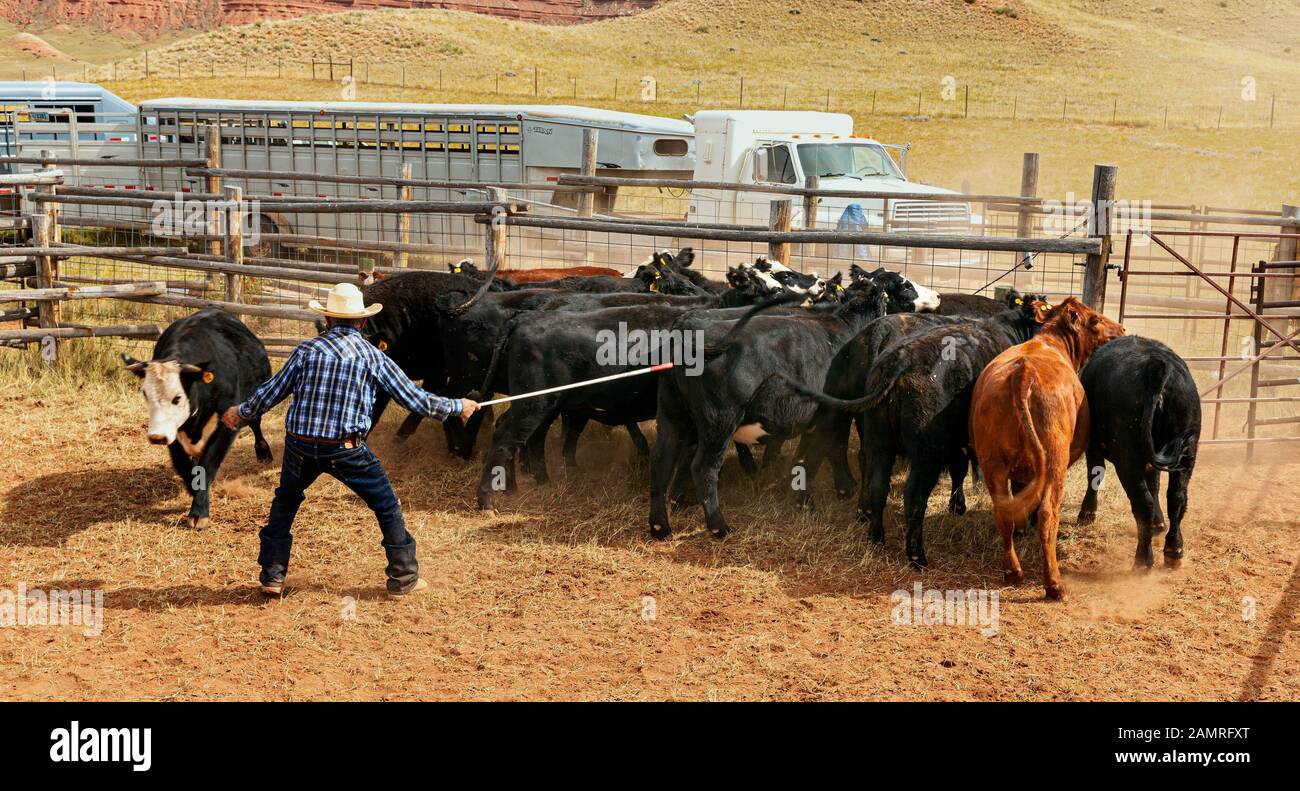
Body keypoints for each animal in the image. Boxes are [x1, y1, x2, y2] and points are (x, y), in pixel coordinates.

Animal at [121, 309, 274, 529]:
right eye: (145, 394)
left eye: (177, 397)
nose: (156, 437)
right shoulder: (174, 434)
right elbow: (186, 468)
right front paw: (194, 490)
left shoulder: (226, 426)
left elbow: (209, 464)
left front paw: (199, 512)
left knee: (256, 424)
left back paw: (263, 452)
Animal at [783, 297, 1051, 566]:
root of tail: (897, 356)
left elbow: (959, 468)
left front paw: (958, 504)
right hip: (926, 453)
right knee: (913, 494)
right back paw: (916, 555)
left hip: (863, 430)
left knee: (860, 470)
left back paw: (862, 526)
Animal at [968, 297, 1125, 600]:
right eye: (1095, 319)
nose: (1122, 329)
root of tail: (1023, 371)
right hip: (1055, 463)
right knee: (1047, 516)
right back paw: (1054, 584)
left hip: (993, 463)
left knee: (1003, 511)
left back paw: (1013, 571)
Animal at [1076, 336, 1200, 570]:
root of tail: (1157, 368)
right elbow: (1155, 484)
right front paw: (1158, 523)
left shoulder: (1093, 446)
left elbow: (1094, 475)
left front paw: (1087, 513)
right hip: (1187, 453)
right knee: (1177, 498)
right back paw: (1174, 550)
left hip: (1129, 459)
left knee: (1143, 503)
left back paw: (1143, 560)